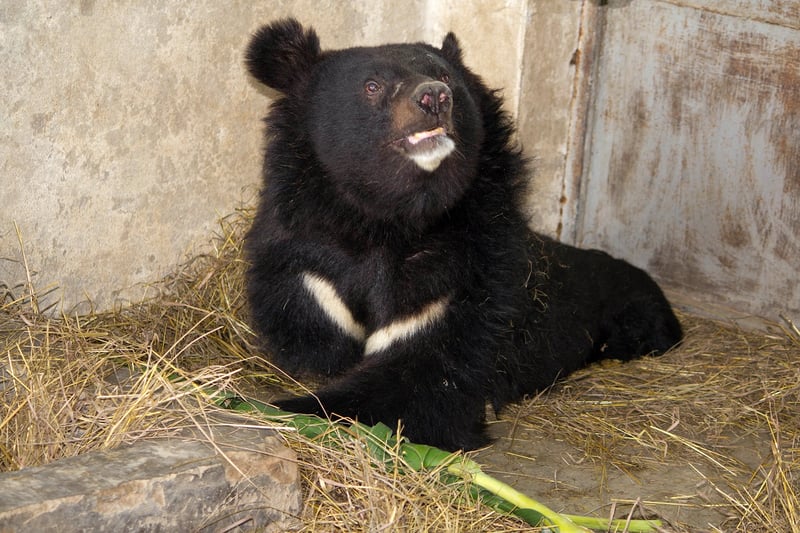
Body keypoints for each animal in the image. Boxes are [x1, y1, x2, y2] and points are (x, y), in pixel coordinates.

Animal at [243, 18, 682, 451]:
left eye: (444, 77)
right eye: (372, 86)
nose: (434, 98)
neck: (388, 219)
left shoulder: (464, 278)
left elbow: (422, 379)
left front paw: (287, 407)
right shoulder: (306, 265)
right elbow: (309, 335)